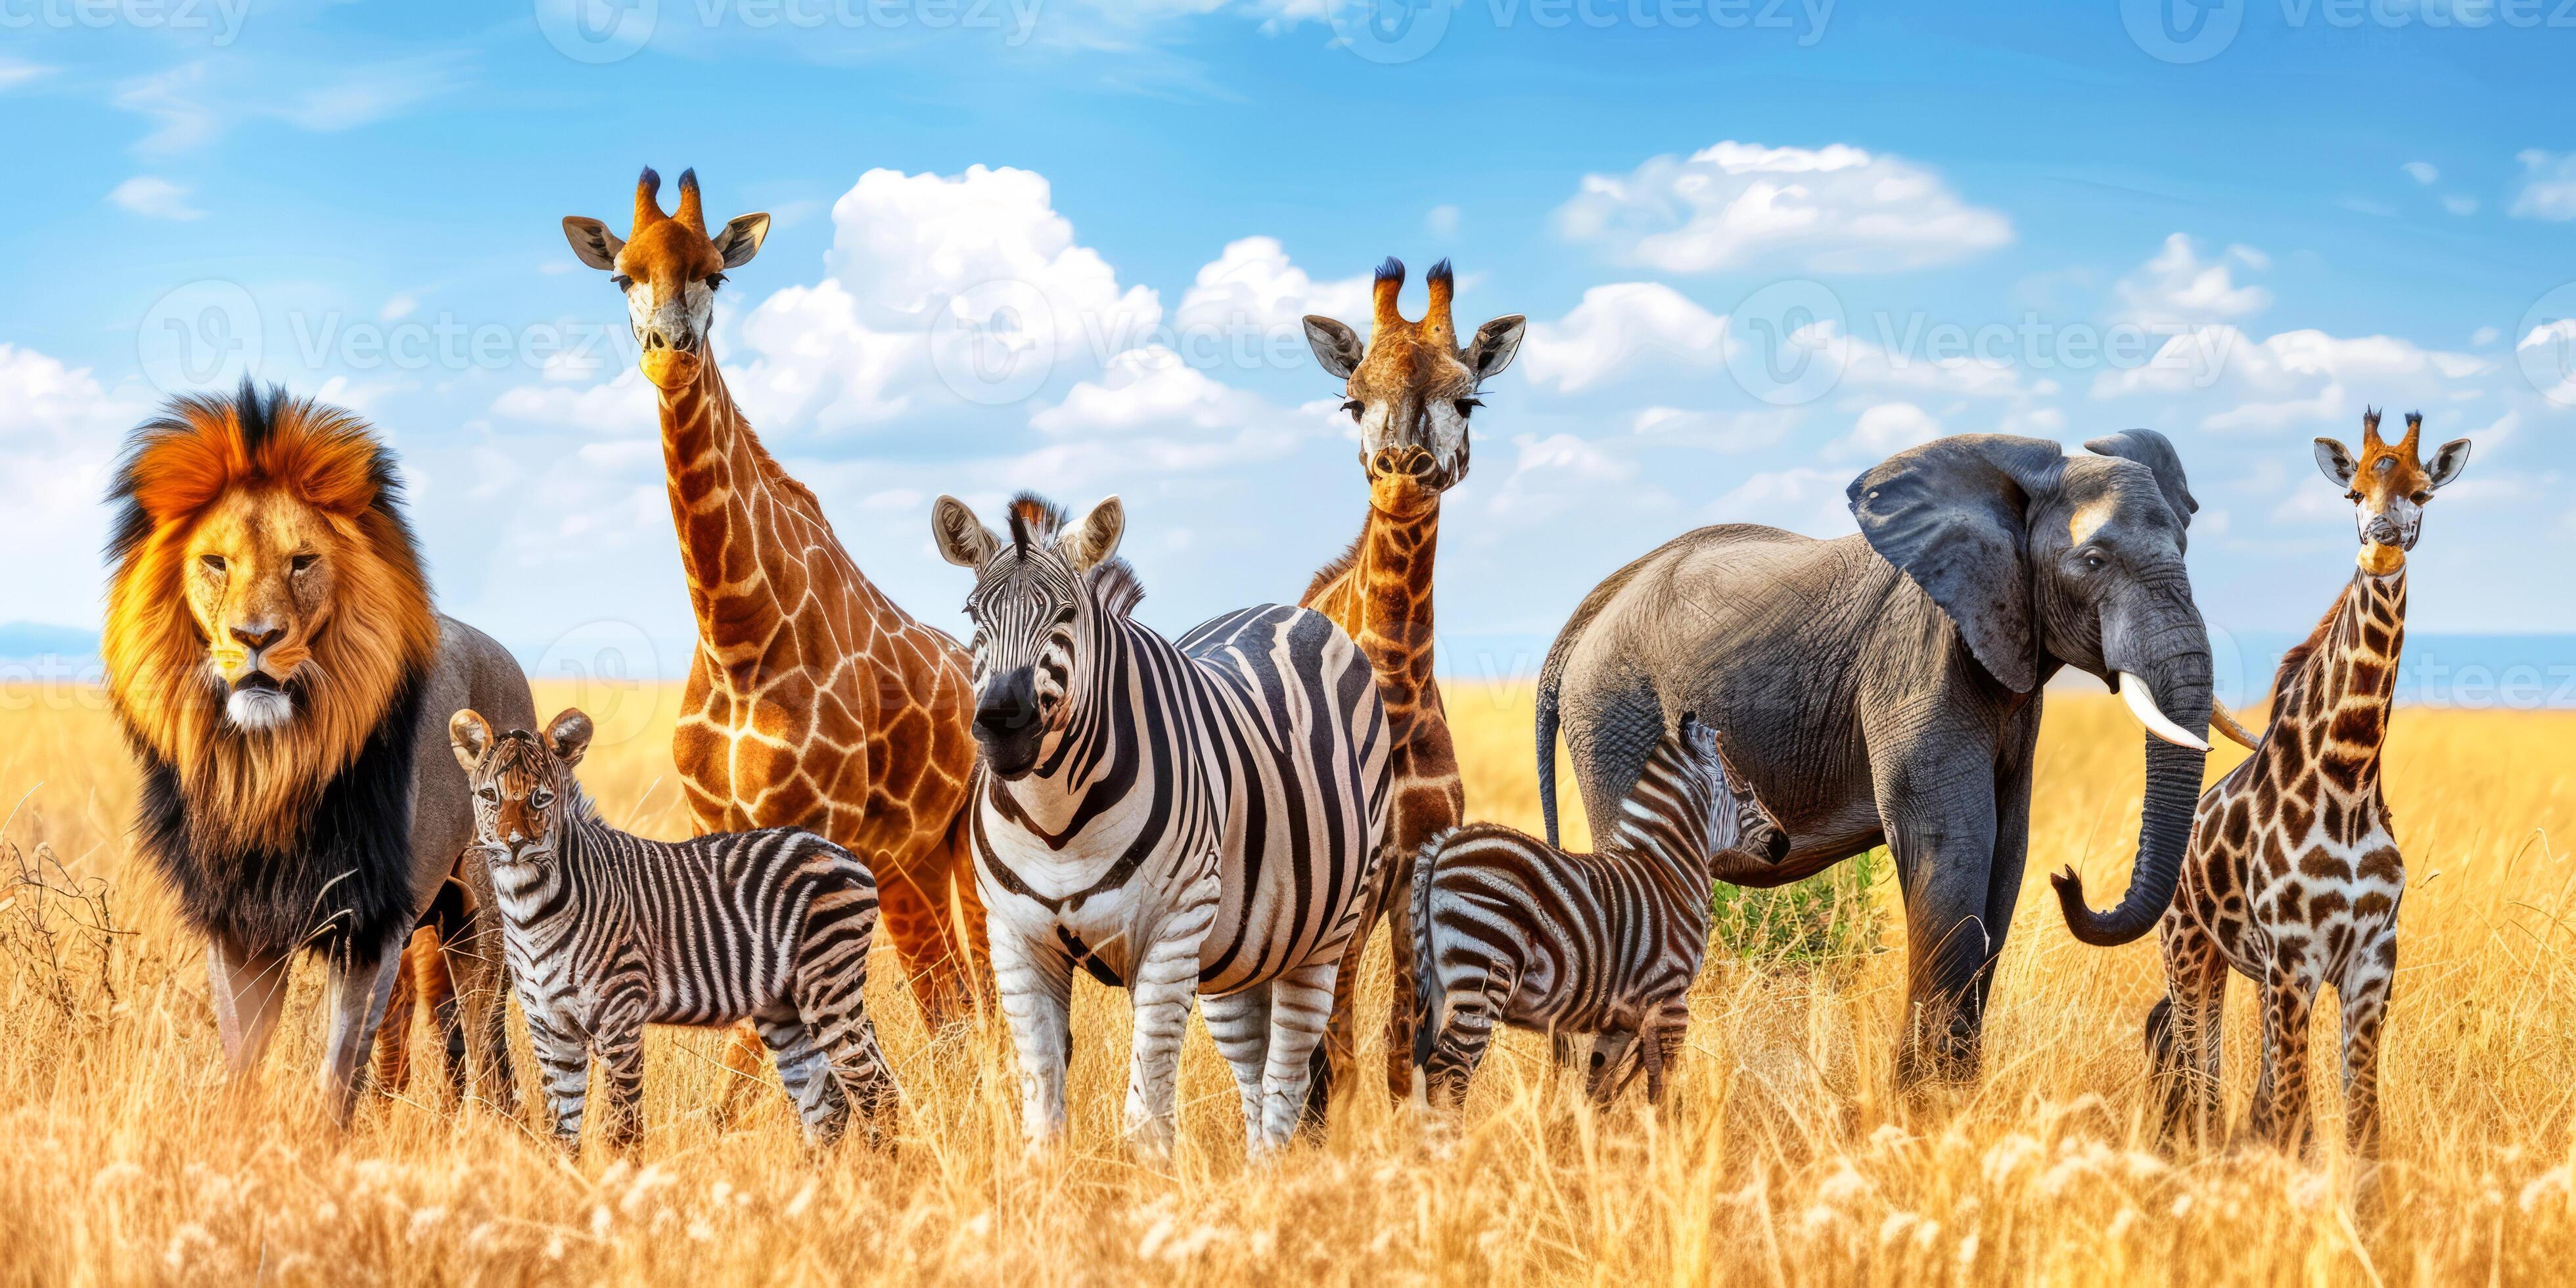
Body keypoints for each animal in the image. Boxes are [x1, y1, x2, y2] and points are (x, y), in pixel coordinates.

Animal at [104, 380, 536, 1124]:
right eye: (215, 563)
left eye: (302, 562)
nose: (256, 637)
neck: (271, 765)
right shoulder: (238, 923)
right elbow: (243, 1062)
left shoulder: (368, 926)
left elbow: (336, 1075)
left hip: (482, 917)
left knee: (486, 1042)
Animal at [447, 707, 899, 1151]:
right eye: (488, 796)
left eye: (542, 798)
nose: (514, 845)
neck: (529, 912)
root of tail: (842, 851)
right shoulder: (550, 1031)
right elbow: (563, 1135)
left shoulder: (620, 1016)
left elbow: (623, 1131)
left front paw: (619, 1174)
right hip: (784, 1008)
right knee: (825, 1105)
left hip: (826, 985)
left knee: (875, 1087)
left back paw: (882, 1171)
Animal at [929, 492, 1391, 1156]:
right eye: (973, 614)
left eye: (1067, 614)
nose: (1000, 724)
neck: (1055, 823)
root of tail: (1287, 610)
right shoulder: (1016, 938)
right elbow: (1043, 1103)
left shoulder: (1171, 934)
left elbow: (1146, 1115)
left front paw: (1150, 1180)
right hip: (1240, 950)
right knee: (1254, 1069)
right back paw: (1258, 1174)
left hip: (1324, 937)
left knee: (1286, 1073)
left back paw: (1277, 1170)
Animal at [1410, 713, 1786, 1116]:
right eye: (1744, 792)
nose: (1784, 843)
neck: (1670, 872)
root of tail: (1444, 844)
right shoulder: (1671, 999)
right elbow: (1663, 1086)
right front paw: (1669, 1132)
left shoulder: (1618, 1020)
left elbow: (1600, 1088)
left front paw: (1589, 1131)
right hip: (1483, 969)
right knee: (1451, 1071)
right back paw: (1455, 1132)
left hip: (1441, 984)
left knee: (1428, 1070)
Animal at [1535, 431, 2250, 1083]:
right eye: (2094, 560)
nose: (2070, 880)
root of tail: (1584, 615)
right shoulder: (1917, 659)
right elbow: (1952, 845)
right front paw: (1918, 1098)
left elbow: (2006, 853)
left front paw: (1953, 1091)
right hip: (1616, 717)